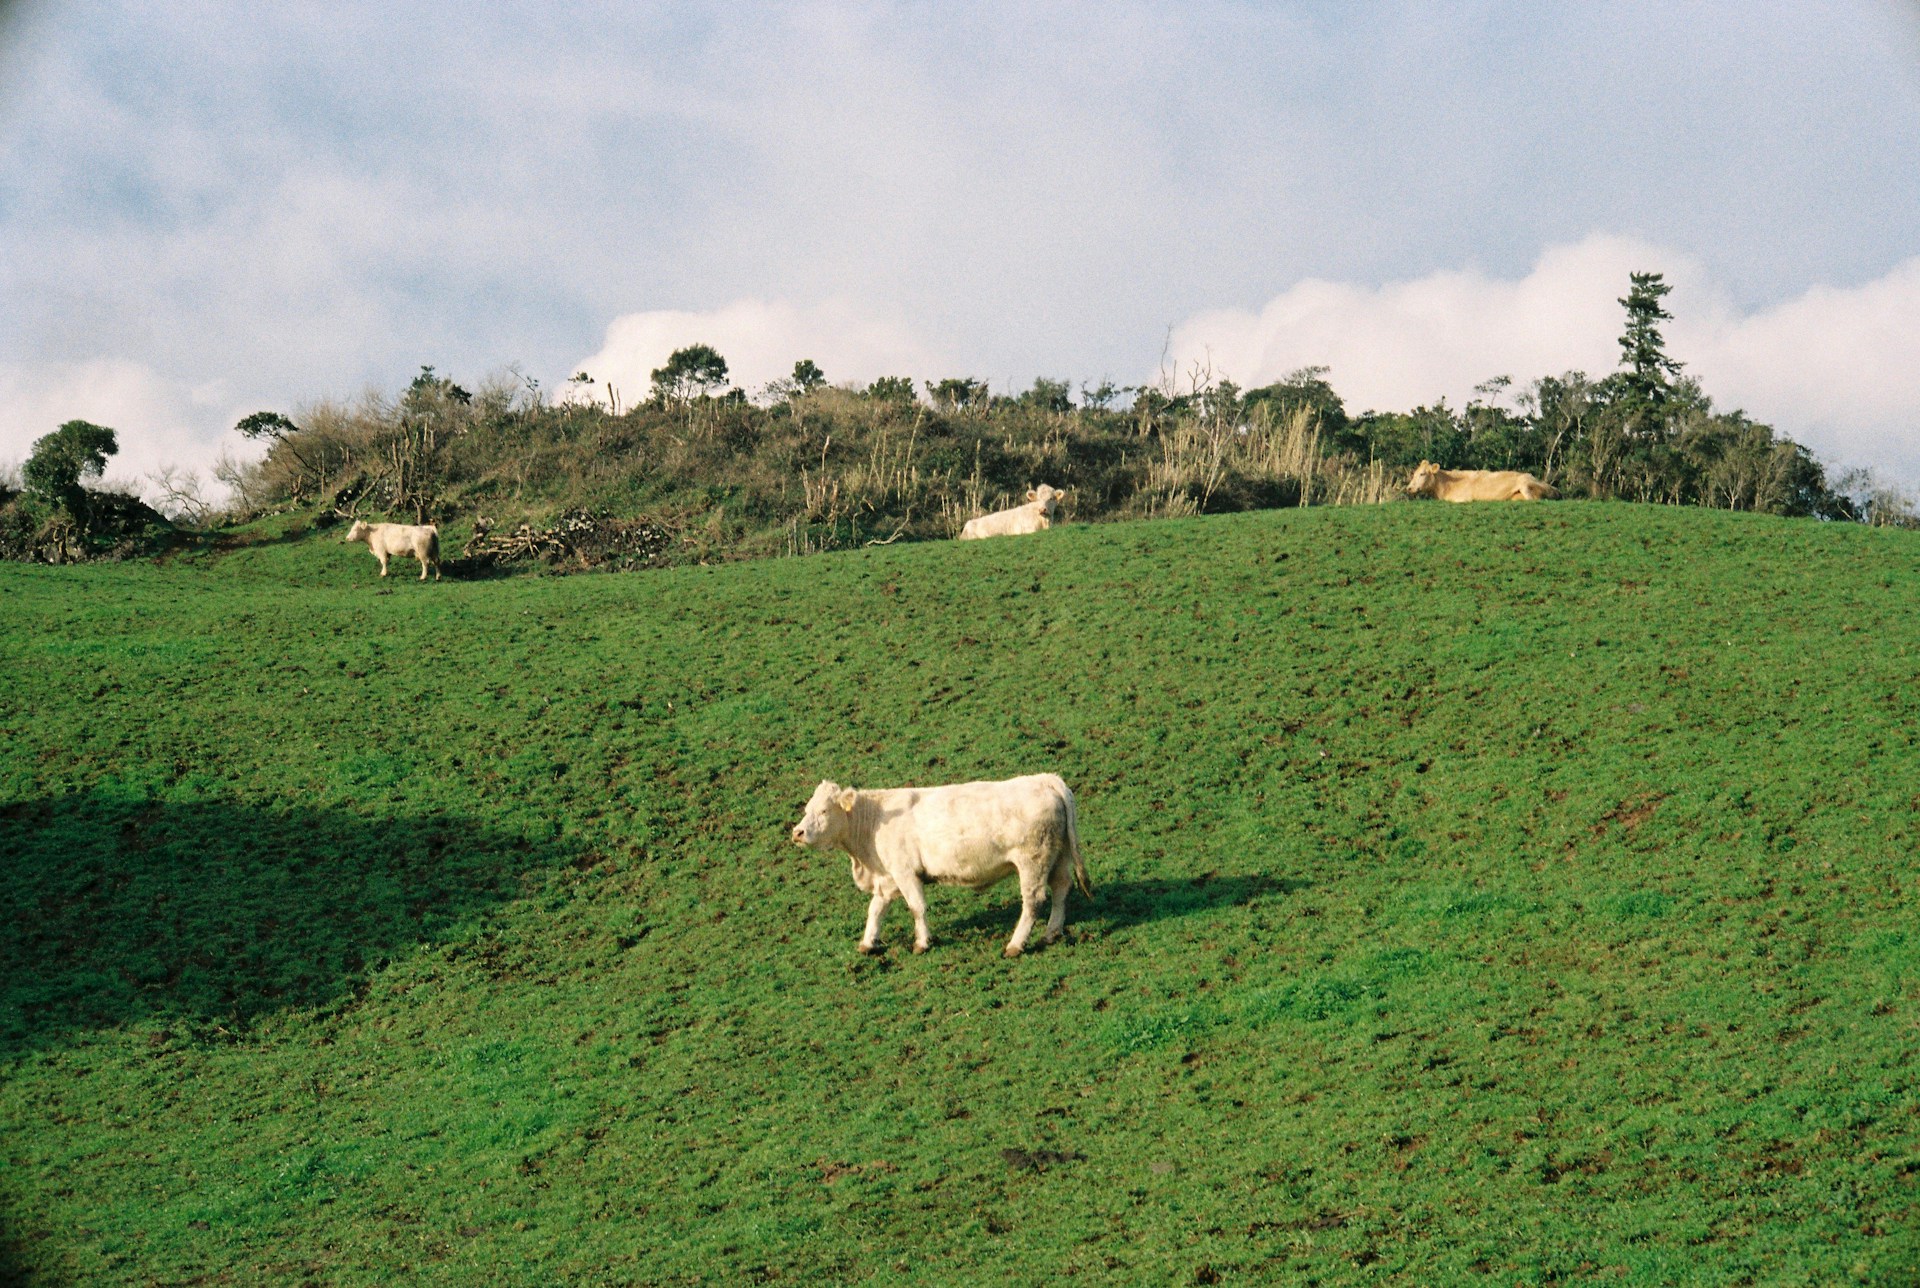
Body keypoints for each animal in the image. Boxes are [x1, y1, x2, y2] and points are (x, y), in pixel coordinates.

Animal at [790, 773, 1092, 958]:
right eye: (807, 809)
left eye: (824, 810)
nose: (797, 832)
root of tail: (1045, 779)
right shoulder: (888, 876)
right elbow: (875, 909)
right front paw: (868, 942)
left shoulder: (905, 872)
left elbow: (916, 907)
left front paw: (922, 942)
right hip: (1058, 856)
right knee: (1062, 888)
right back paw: (1051, 933)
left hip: (1033, 860)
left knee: (1033, 900)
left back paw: (1015, 945)